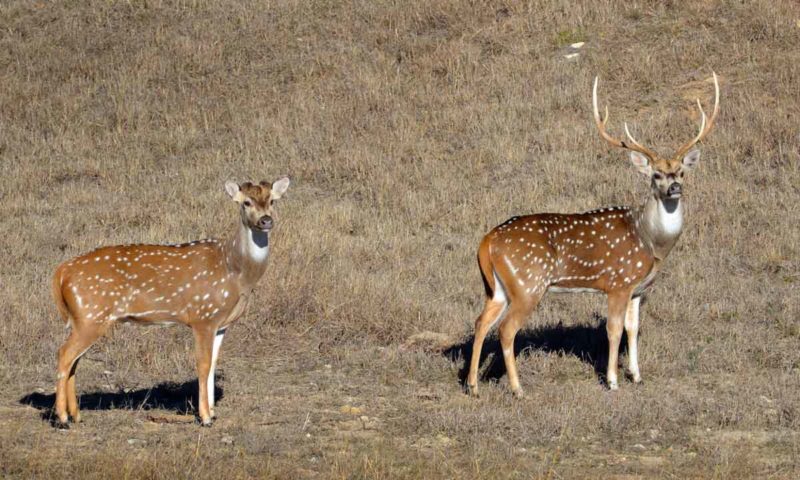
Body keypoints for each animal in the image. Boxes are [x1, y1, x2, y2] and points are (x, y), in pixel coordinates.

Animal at [51, 177, 290, 427]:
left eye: (272, 200)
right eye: (246, 202)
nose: (266, 220)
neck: (236, 272)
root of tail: (61, 272)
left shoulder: (221, 323)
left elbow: (214, 364)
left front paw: (213, 411)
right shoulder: (203, 316)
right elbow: (203, 364)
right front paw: (205, 417)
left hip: (84, 318)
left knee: (74, 361)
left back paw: (76, 415)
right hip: (91, 315)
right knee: (64, 355)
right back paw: (62, 418)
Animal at [467, 73, 719, 397]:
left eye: (681, 172)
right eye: (656, 175)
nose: (674, 188)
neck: (650, 241)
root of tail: (486, 242)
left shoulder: (638, 290)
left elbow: (632, 329)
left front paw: (636, 375)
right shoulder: (618, 283)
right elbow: (613, 330)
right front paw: (612, 380)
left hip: (496, 287)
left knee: (480, 322)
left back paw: (473, 386)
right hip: (528, 284)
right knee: (506, 329)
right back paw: (518, 389)